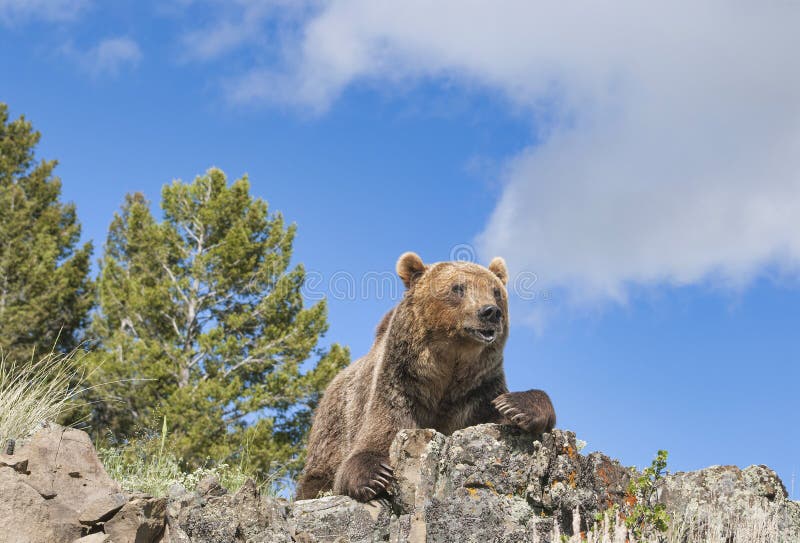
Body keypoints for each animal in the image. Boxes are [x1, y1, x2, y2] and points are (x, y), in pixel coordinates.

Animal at [295, 252, 556, 501]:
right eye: (458, 288)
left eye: (496, 291)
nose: (491, 312)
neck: (447, 371)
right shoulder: (400, 384)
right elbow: (379, 435)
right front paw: (373, 474)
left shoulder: (476, 391)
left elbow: (502, 412)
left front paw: (516, 406)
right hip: (333, 426)